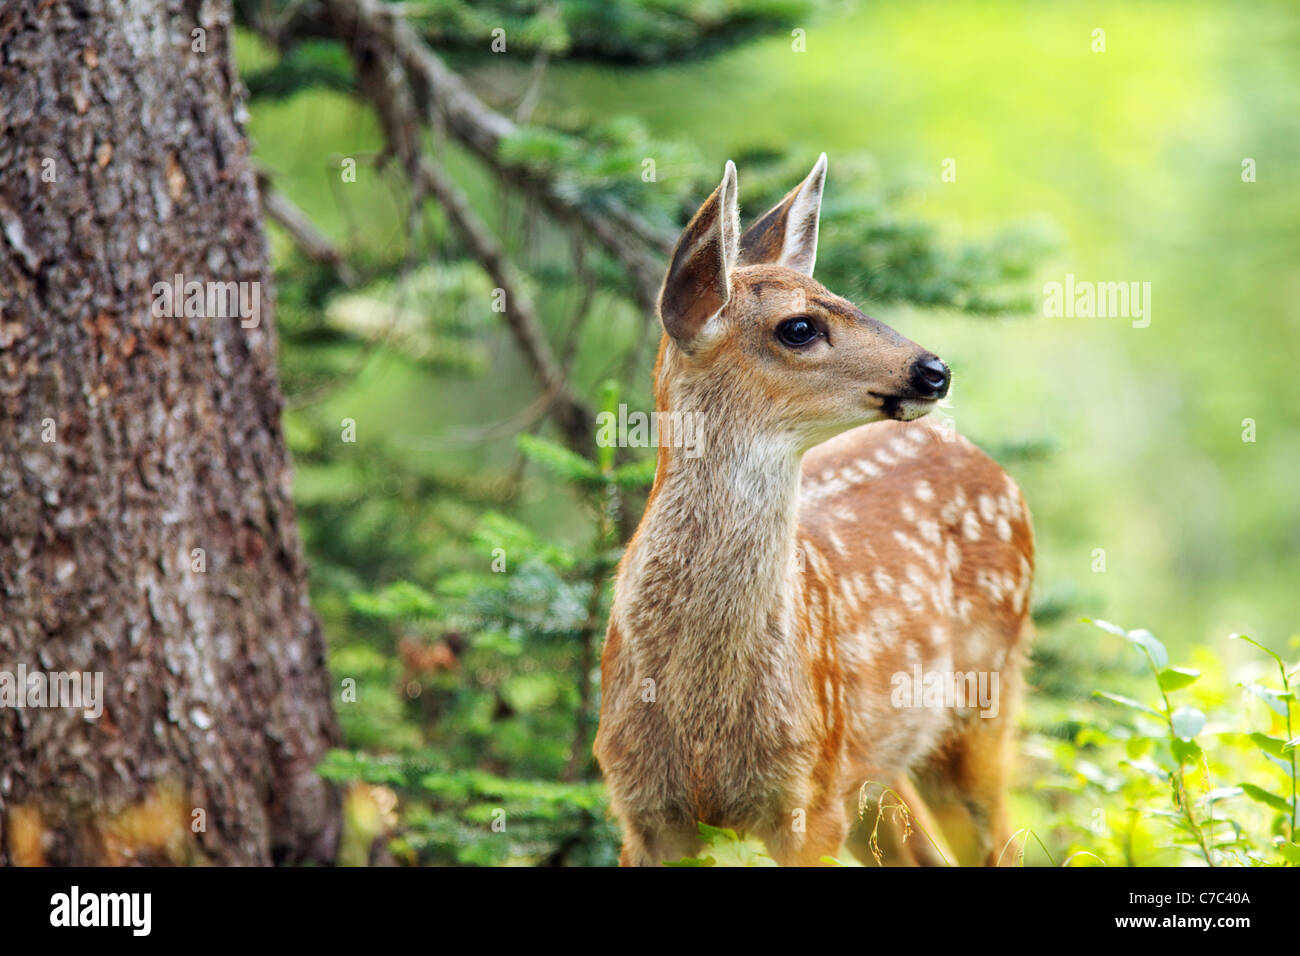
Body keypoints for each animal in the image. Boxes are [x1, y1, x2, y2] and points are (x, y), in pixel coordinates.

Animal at [592, 155, 1035, 867]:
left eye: (845, 297)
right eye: (799, 326)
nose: (935, 370)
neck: (701, 714)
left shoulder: (808, 794)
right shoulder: (642, 809)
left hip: (982, 702)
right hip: (875, 766)